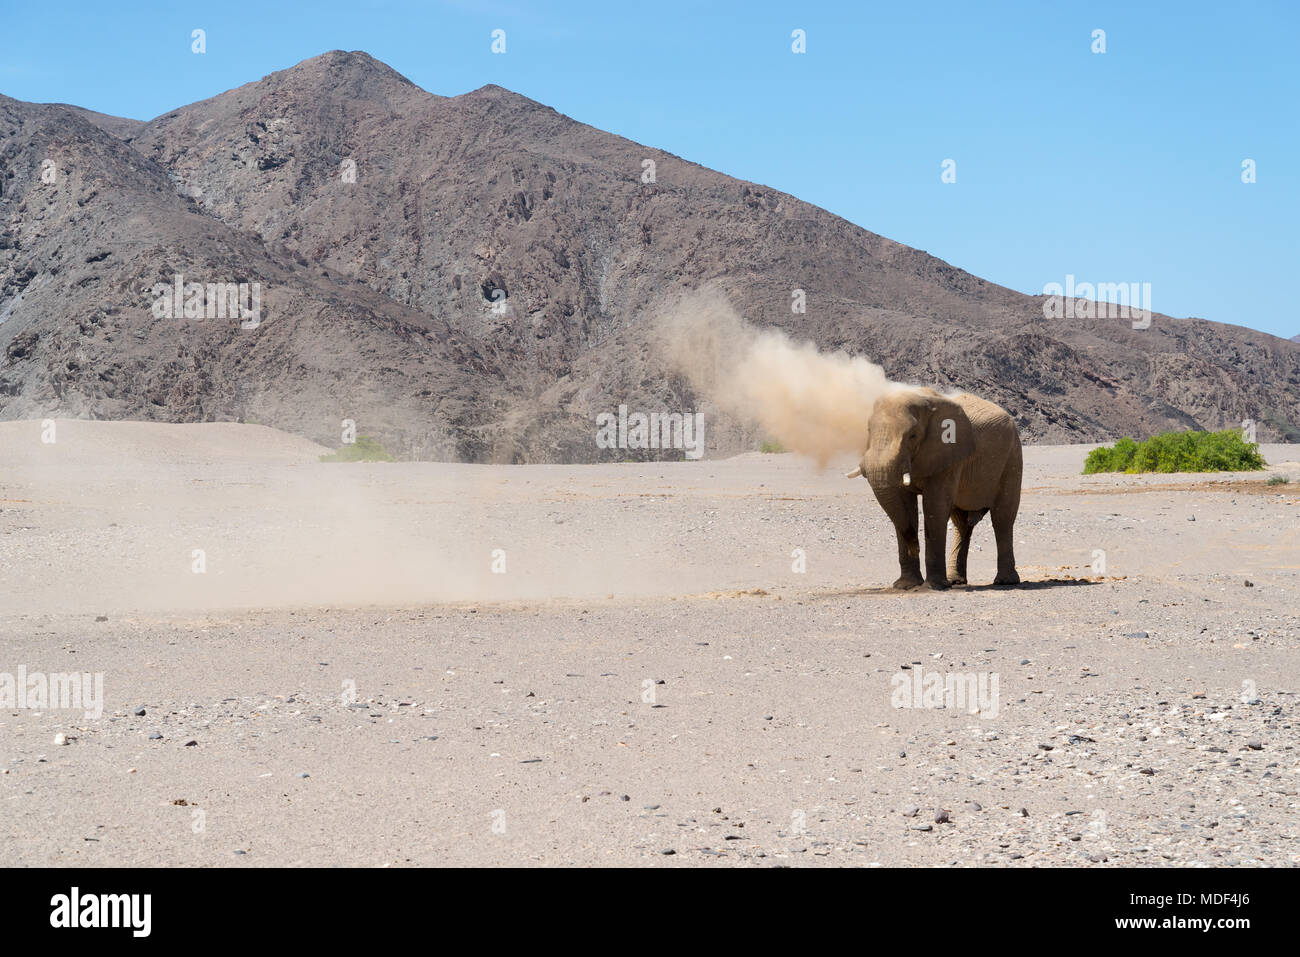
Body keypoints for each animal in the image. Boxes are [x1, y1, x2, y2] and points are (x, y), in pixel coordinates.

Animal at [846, 387, 1022, 590]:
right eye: (868, 430)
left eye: (913, 435)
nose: (915, 547)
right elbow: (905, 506)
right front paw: (905, 585)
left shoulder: (949, 453)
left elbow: (934, 506)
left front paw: (933, 586)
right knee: (961, 522)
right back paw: (956, 581)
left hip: (1012, 457)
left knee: (1002, 518)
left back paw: (1005, 581)